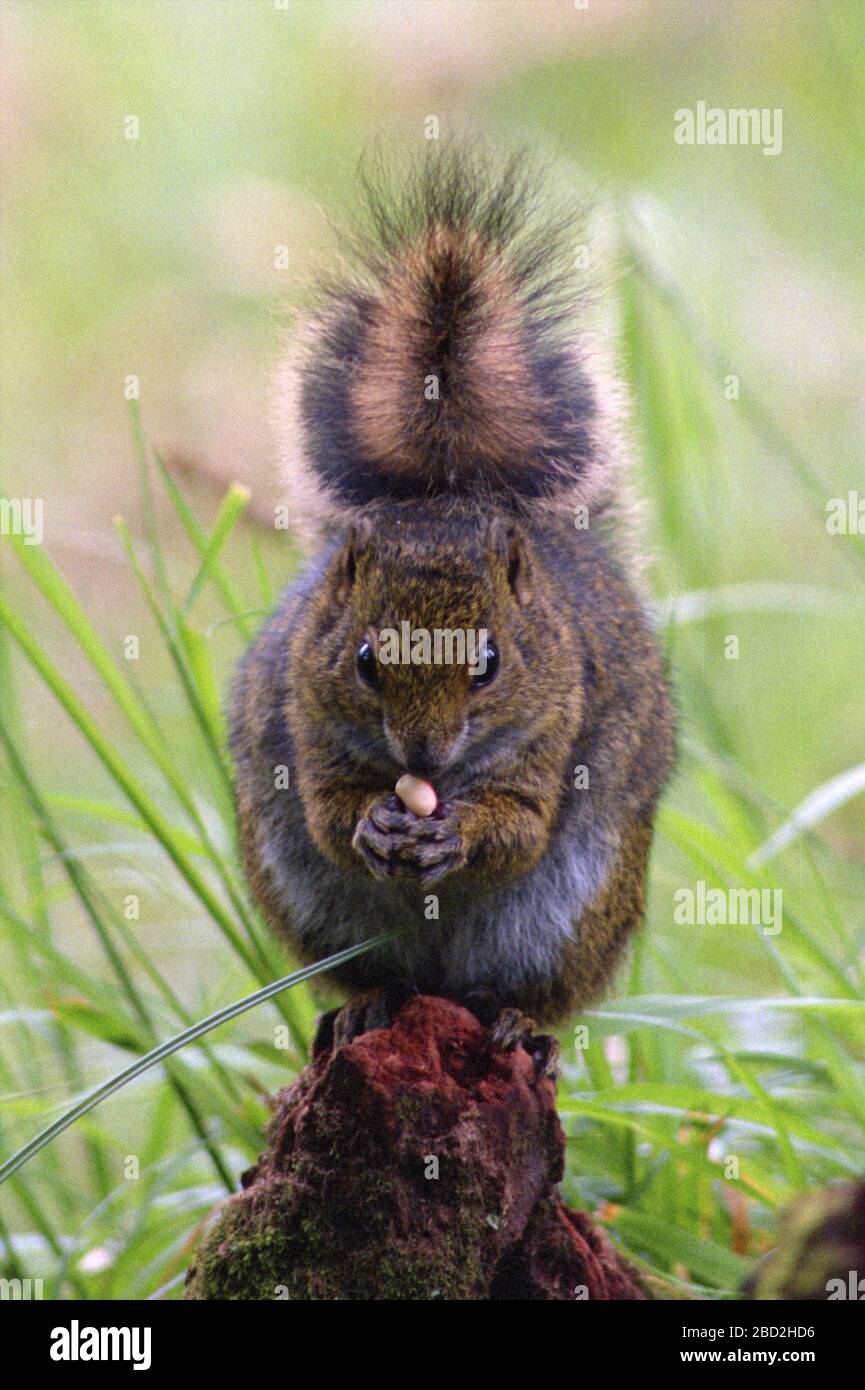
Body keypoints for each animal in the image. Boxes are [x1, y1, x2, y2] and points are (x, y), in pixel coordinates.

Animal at [229, 147, 675, 1063]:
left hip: (567, 920)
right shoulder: (302, 711)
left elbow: (520, 828)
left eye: (492, 662)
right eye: (364, 658)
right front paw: (372, 825)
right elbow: (327, 811)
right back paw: (368, 1005)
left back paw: (511, 1018)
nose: (423, 753)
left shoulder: (555, 728)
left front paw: (457, 833)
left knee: (527, 988)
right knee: (375, 975)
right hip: (317, 911)